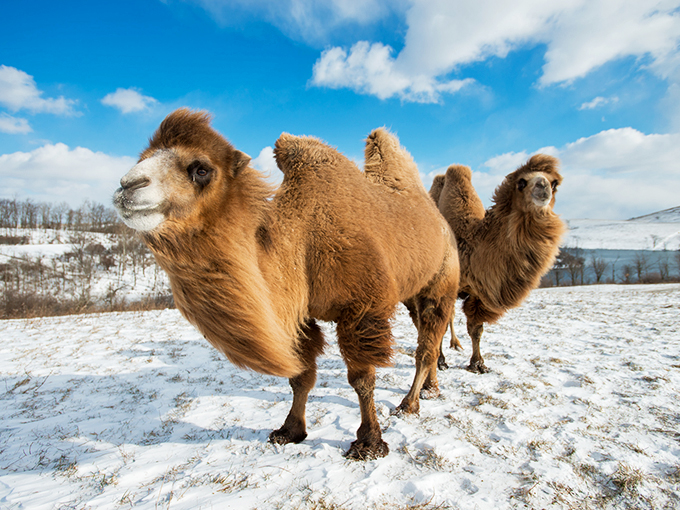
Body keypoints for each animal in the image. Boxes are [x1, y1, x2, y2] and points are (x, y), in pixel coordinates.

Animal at [113, 108, 458, 460]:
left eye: (201, 169)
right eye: (143, 157)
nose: (127, 185)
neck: (302, 238)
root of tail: (440, 221)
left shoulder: (361, 309)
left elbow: (362, 379)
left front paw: (369, 443)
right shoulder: (300, 315)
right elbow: (300, 377)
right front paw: (289, 431)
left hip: (442, 281)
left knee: (426, 344)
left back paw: (410, 403)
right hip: (411, 291)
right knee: (427, 336)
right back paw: (430, 387)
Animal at [429, 156, 566, 373]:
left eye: (555, 184)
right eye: (521, 182)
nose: (543, 187)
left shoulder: (479, 294)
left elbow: (476, 328)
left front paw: (478, 363)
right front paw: (441, 361)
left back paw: (456, 344)